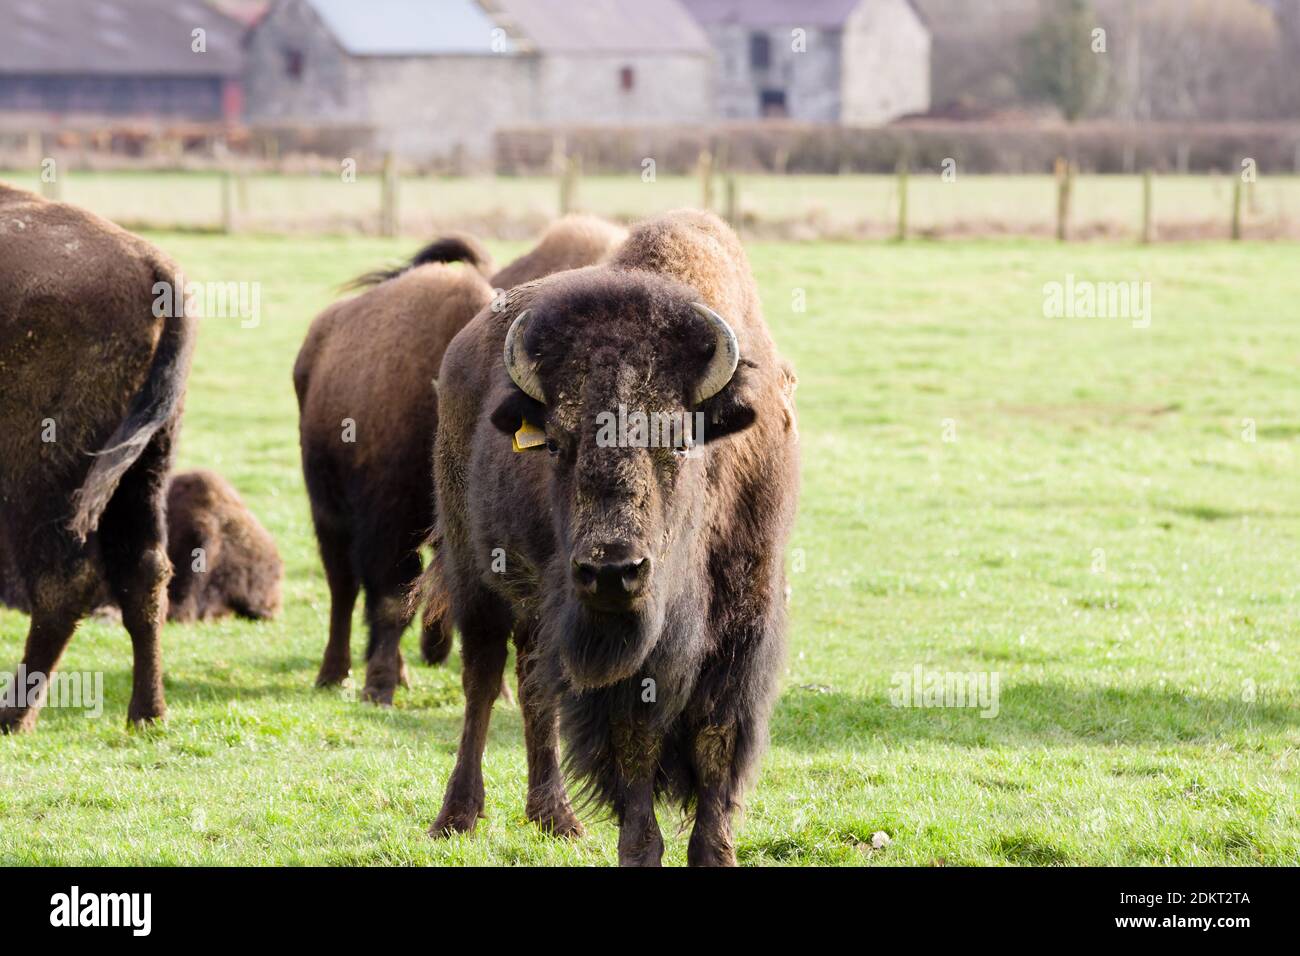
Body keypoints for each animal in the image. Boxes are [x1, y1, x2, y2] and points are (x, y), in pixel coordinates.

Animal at [0, 184, 196, 732]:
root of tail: (153, 266)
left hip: (37, 476)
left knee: (63, 583)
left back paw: (13, 717)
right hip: (144, 468)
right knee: (146, 572)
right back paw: (147, 714)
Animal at [425, 210, 799, 864]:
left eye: (679, 439)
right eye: (556, 443)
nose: (611, 570)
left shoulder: (743, 633)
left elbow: (717, 745)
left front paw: (715, 851)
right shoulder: (622, 659)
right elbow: (634, 752)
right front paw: (640, 848)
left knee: (534, 689)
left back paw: (554, 818)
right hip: (479, 582)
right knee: (482, 683)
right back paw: (457, 817)